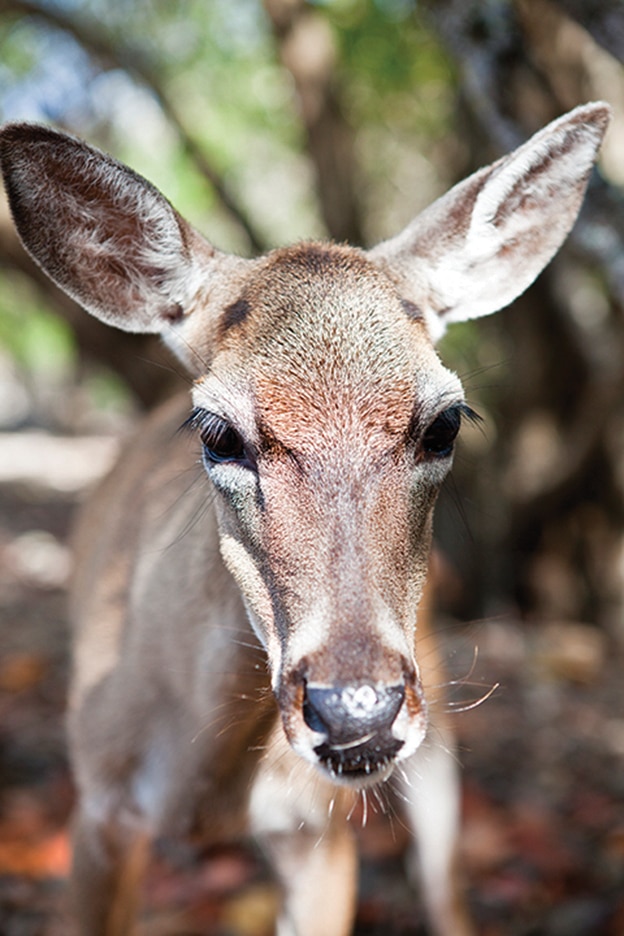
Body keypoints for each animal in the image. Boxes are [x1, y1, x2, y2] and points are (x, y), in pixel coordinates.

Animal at [0, 101, 610, 936]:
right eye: (217, 432)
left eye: (445, 422)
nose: (355, 712)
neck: (204, 786)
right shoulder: (97, 807)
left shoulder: (318, 825)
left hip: (439, 725)